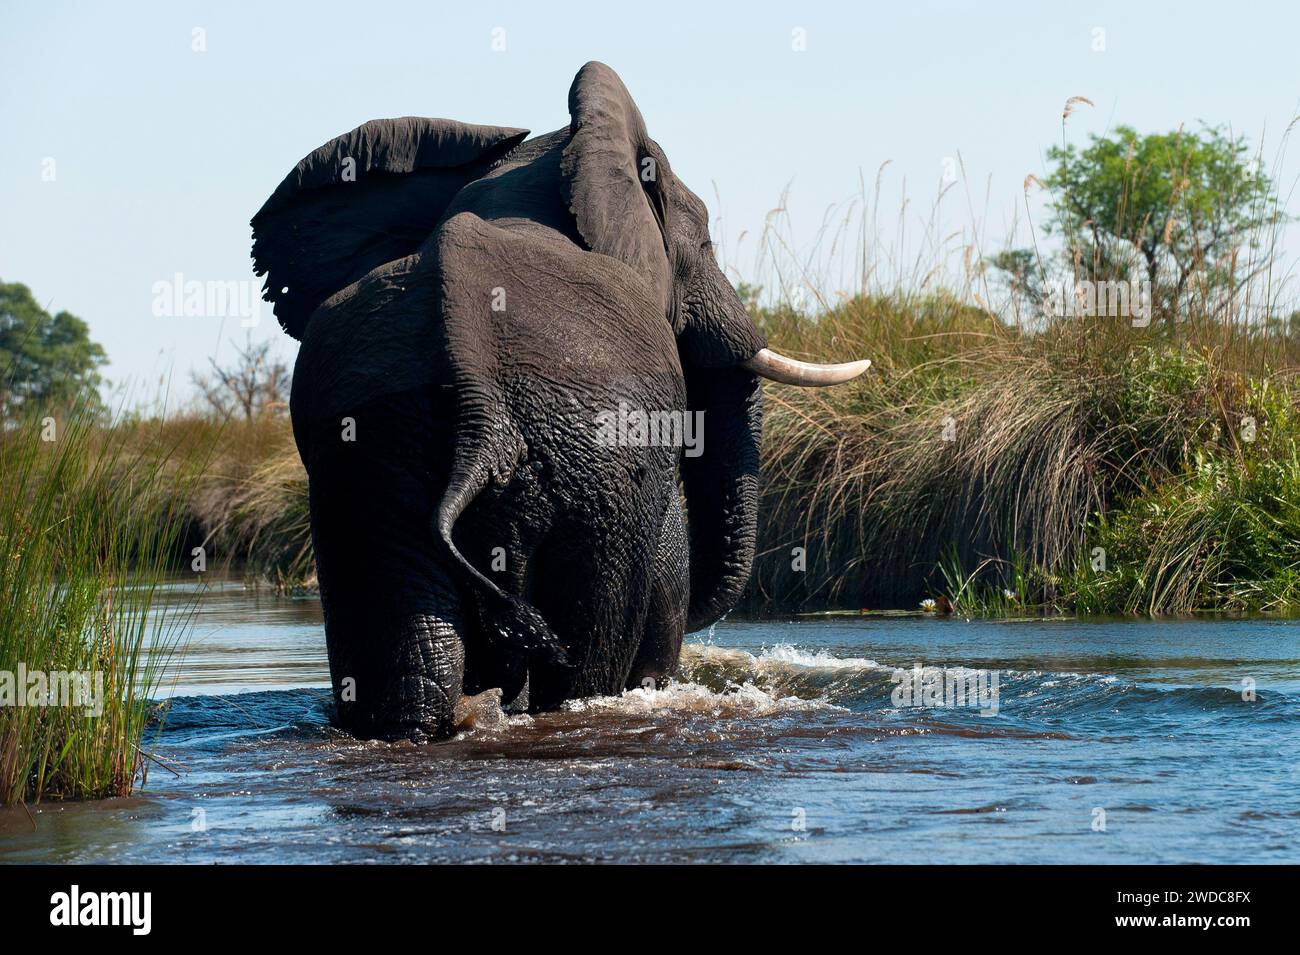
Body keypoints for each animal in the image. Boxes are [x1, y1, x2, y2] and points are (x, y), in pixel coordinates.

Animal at [250, 62, 869, 740]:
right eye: (705, 242)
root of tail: (477, 404)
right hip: (593, 474)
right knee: (584, 655)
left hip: (372, 456)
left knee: (413, 663)